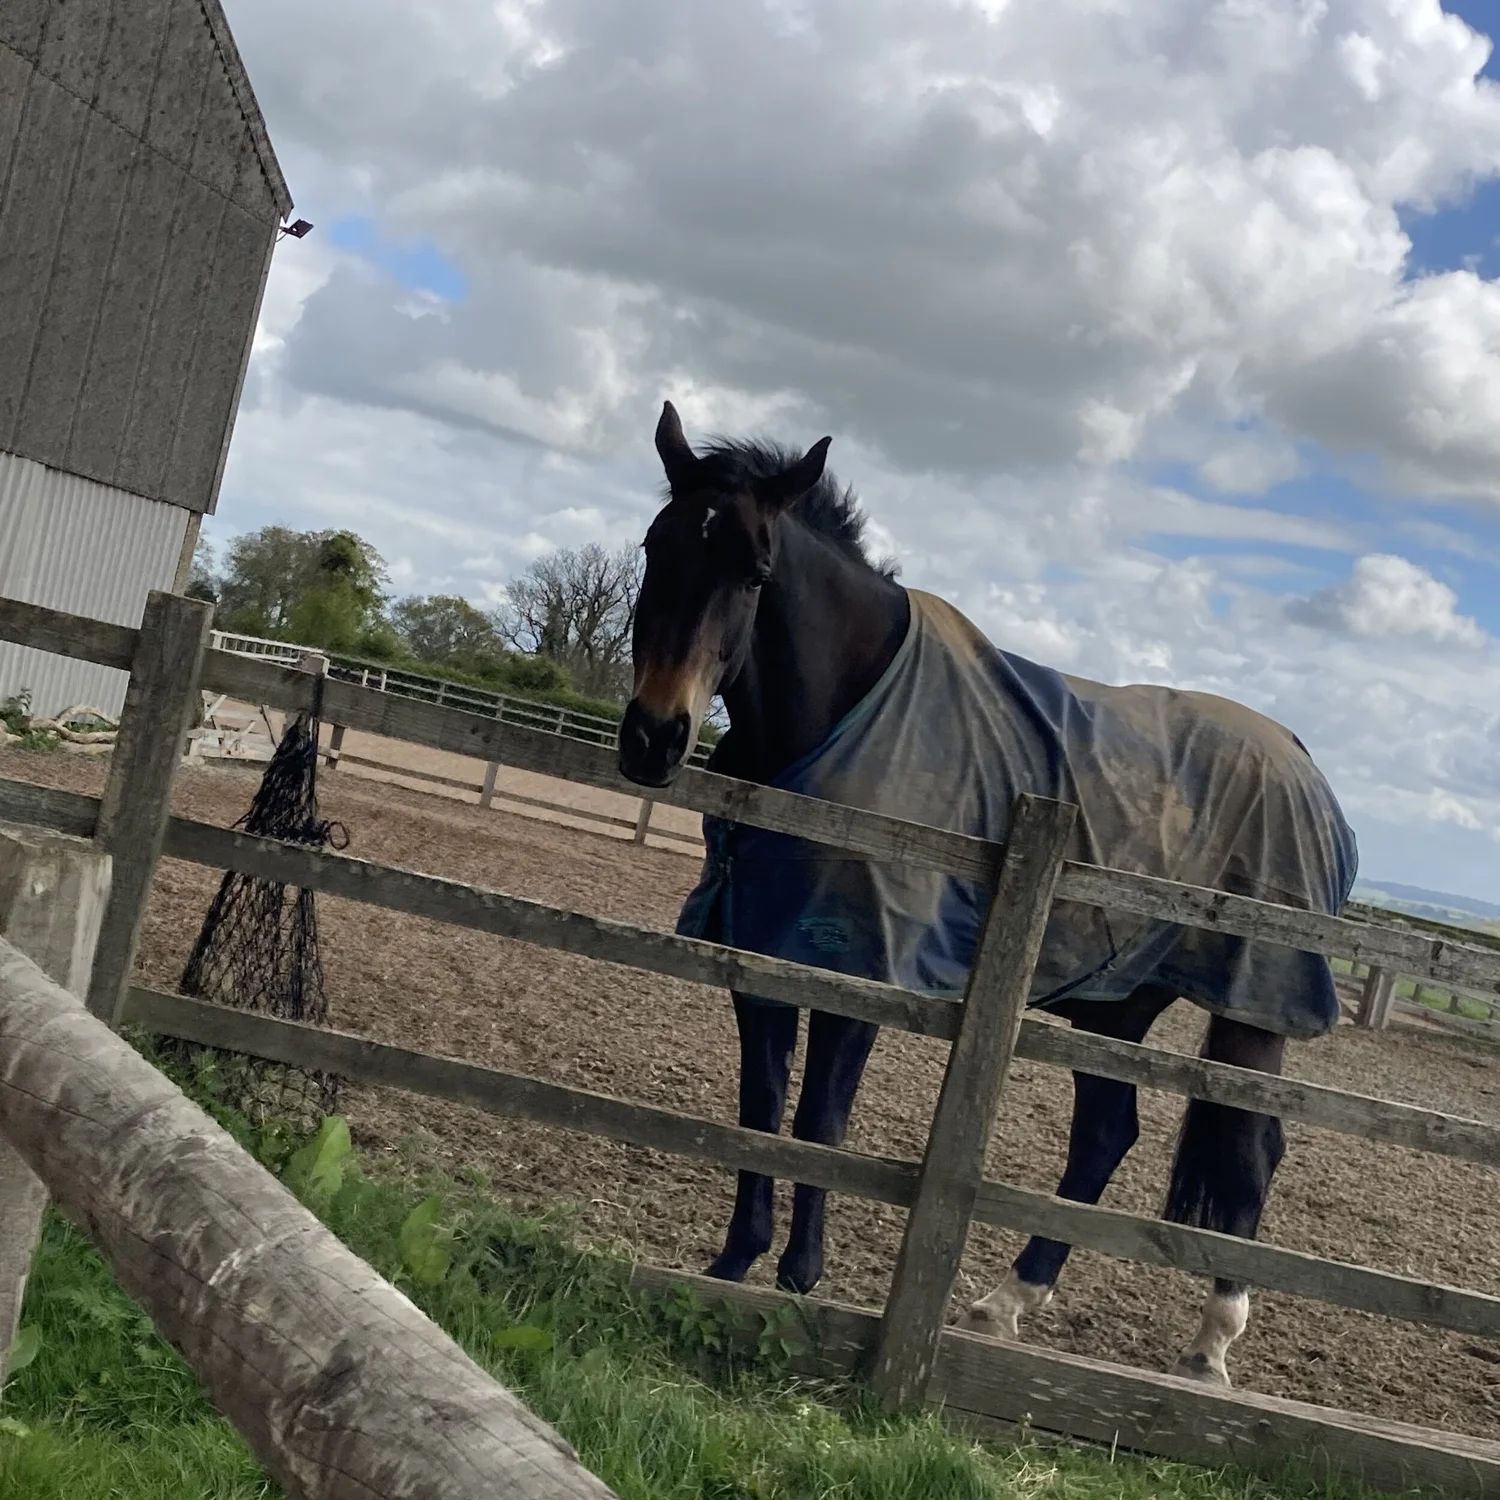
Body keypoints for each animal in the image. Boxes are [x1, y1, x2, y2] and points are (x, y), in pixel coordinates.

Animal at [616, 401, 1357, 1387]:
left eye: (755, 572)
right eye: (658, 547)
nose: (655, 737)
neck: (849, 712)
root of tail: (1301, 756)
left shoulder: (866, 973)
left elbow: (819, 1119)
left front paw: (800, 1279)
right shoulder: (766, 955)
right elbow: (761, 1106)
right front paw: (734, 1266)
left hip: (1251, 1013)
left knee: (1249, 1150)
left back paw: (1210, 1347)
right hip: (1116, 1002)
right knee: (1105, 1136)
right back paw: (1008, 1301)